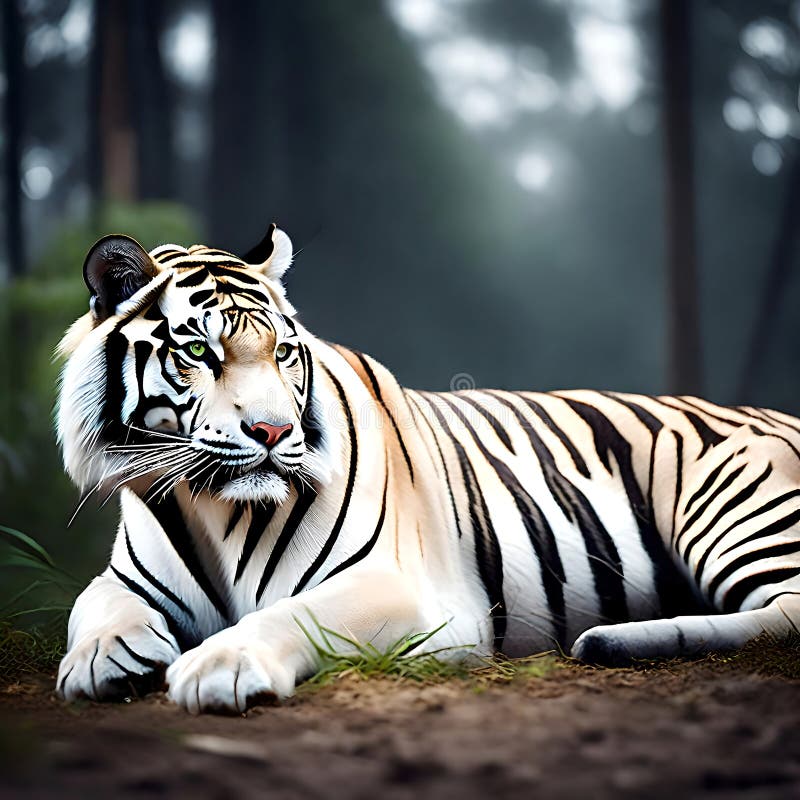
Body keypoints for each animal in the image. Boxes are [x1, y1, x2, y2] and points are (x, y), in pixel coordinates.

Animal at [55, 224, 800, 713]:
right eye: (199, 353)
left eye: (283, 353)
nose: (273, 431)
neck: (206, 504)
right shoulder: (124, 578)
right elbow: (94, 607)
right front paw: (98, 660)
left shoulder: (417, 594)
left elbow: (297, 614)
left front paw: (220, 664)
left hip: (734, 503)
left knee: (786, 612)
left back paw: (616, 640)